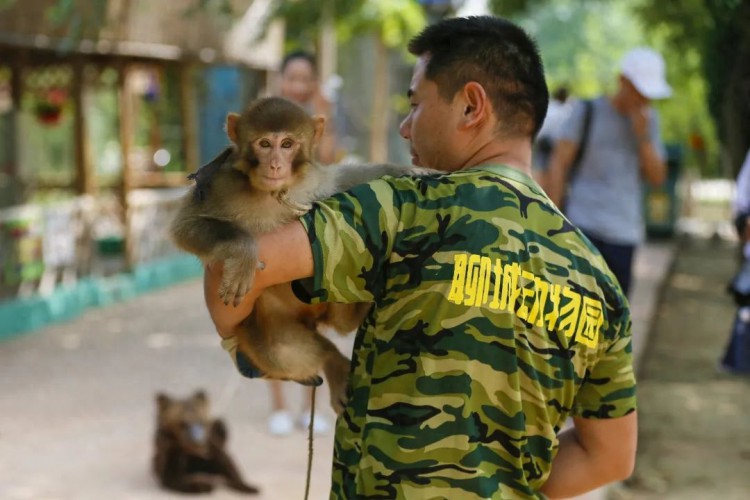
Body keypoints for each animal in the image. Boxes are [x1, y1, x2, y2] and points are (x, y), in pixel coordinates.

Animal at [168, 97, 432, 414]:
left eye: (287, 144)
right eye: (264, 143)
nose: (275, 164)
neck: (274, 192)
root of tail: (314, 319)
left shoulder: (315, 181)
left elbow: (343, 179)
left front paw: (405, 170)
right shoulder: (221, 185)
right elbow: (184, 226)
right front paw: (243, 255)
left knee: (341, 319)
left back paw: (353, 316)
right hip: (274, 321)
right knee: (279, 349)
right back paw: (332, 359)